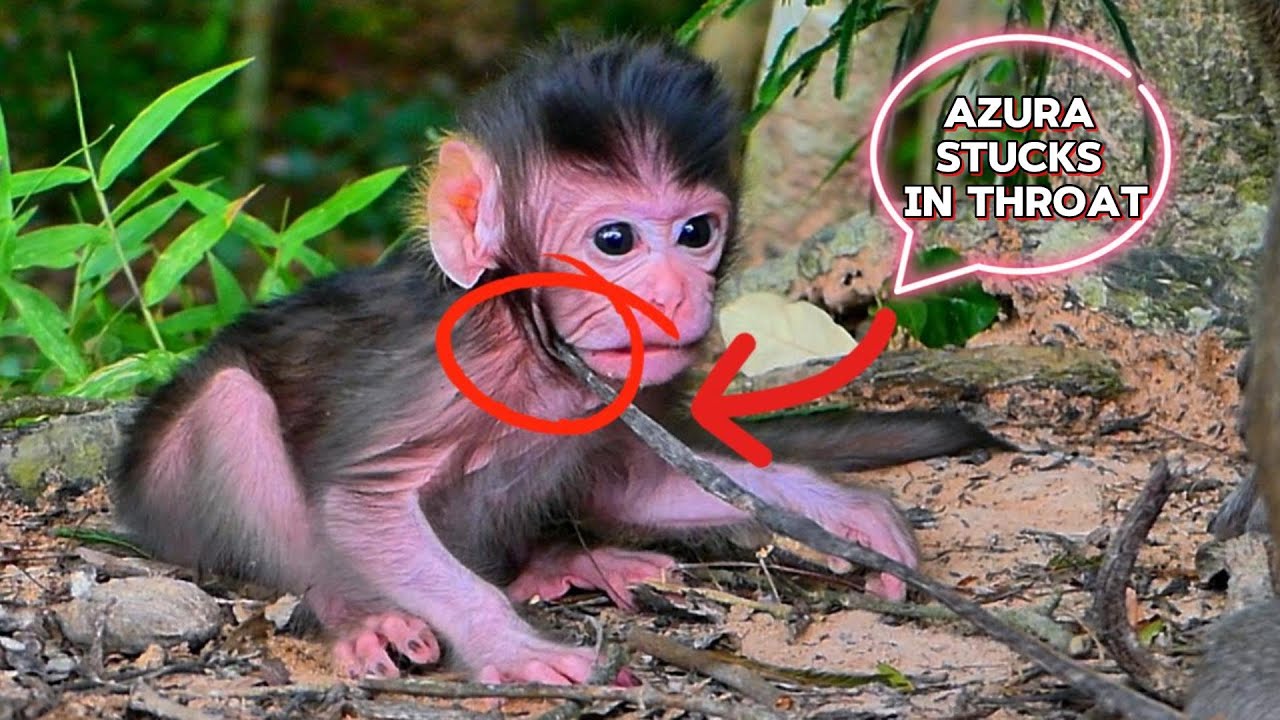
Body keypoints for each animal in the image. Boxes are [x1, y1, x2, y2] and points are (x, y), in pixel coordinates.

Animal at [111, 36, 1010, 684]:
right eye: (614, 241)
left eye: (696, 233)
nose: (675, 294)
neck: (533, 352)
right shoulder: (439, 376)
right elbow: (365, 507)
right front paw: (505, 644)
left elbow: (637, 483)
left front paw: (840, 510)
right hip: (164, 502)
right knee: (231, 402)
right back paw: (358, 614)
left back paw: (558, 563)